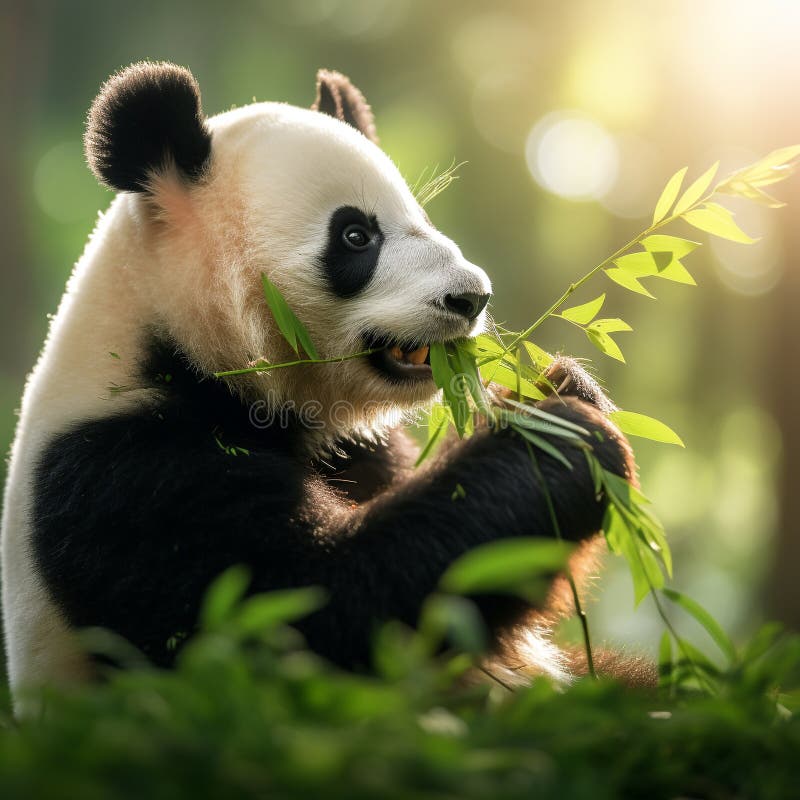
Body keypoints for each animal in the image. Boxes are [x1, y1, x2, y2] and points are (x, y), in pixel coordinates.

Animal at [1, 62, 643, 707]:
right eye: (356, 236)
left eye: (421, 220)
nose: (471, 297)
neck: (172, 346)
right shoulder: (128, 477)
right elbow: (317, 611)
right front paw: (560, 443)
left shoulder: (363, 451)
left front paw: (563, 388)